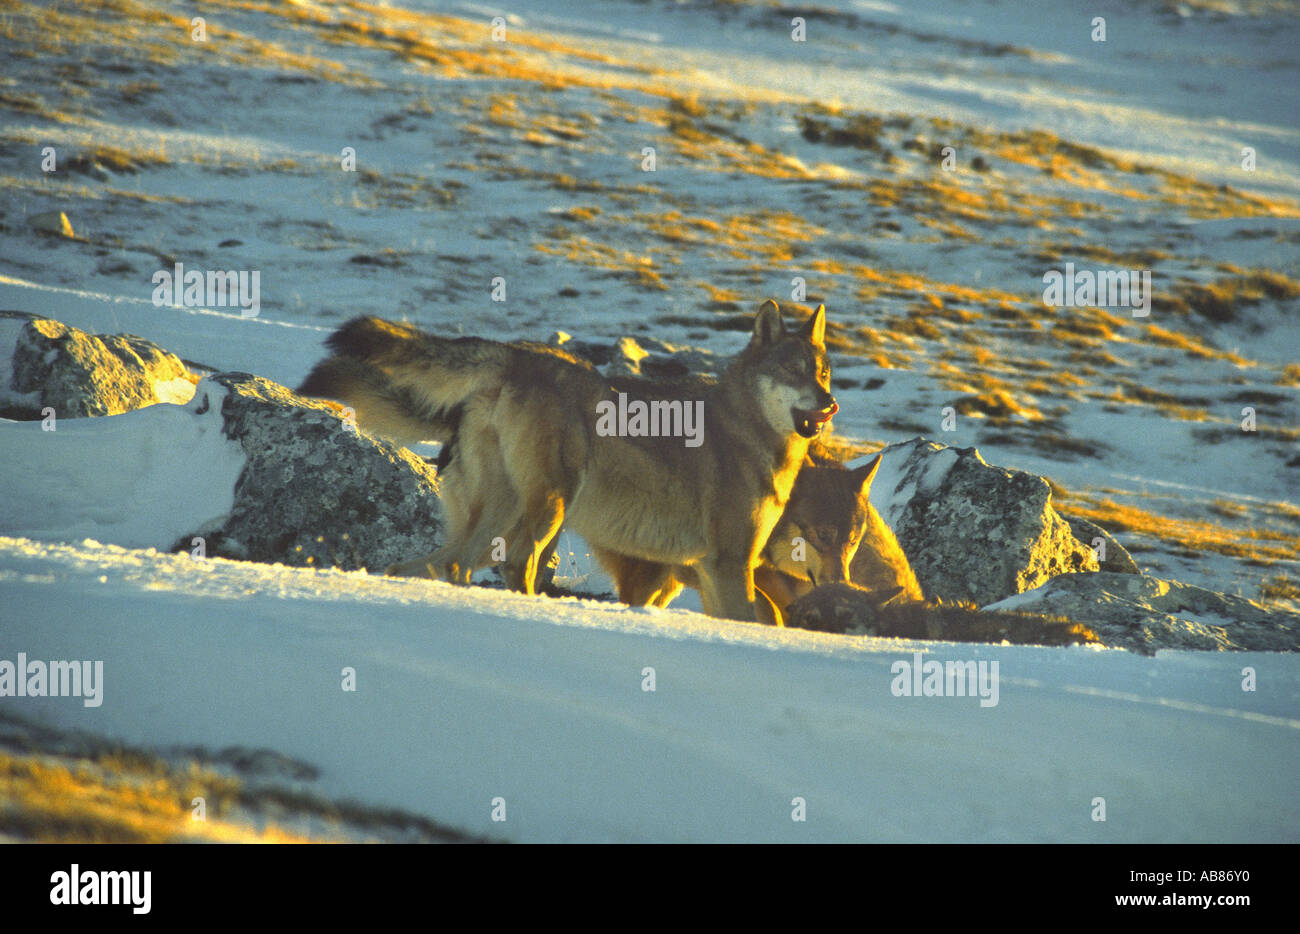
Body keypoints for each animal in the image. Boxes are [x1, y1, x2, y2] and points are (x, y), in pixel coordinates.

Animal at [298, 300, 837, 621]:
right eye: (793, 371)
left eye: (824, 373)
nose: (831, 405)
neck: (749, 429)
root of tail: (515, 353)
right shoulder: (727, 566)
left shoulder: (700, 571)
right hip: (550, 507)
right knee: (519, 563)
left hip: (497, 522)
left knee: (437, 566)